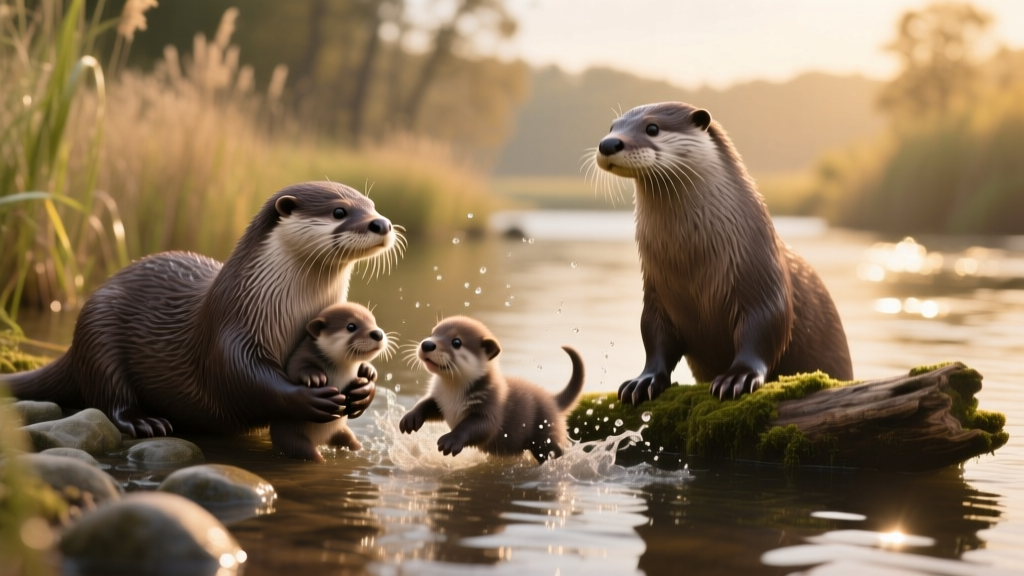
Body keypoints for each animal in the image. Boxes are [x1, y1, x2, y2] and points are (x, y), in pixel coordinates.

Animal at [3, 181, 403, 437]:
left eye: (372, 206)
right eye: (339, 211)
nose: (381, 223)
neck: (281, 308)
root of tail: (72, 347)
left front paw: (366, 383)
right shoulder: (230, 330)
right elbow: (241, 378)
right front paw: (306, 397)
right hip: (98, 331)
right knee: (109, 397)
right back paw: (144, 422)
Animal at [271, 302, 393, 462]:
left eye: (374, 321)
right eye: (351, 326)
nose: (378, 333)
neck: (341, 370)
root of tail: (320, 440)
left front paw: (368, 373)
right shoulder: (297, 357)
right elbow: (295, 368)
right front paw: (314, 376)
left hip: (342, 431)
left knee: (351, 441)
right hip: (292, 439)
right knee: (307, 452)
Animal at [398, 316, 584, 463]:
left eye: (456, 342)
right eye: (433, 333)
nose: (427, 344)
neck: (453, 393)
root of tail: (553, 401)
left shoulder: (490, 404)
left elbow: (479, 426)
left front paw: (451, 440)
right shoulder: (441, 399)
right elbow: (427, 404)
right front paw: (410, 418)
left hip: (545, 433)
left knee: (553, 449)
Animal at [592, 102, 852, 403]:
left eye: (652, 128)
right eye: (612, 127)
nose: (608, 143)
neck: (691, 263)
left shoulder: (760, 274)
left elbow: (765, 327)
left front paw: (738, 377)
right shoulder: (657, 291)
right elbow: (653, 336)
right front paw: (643, 381)